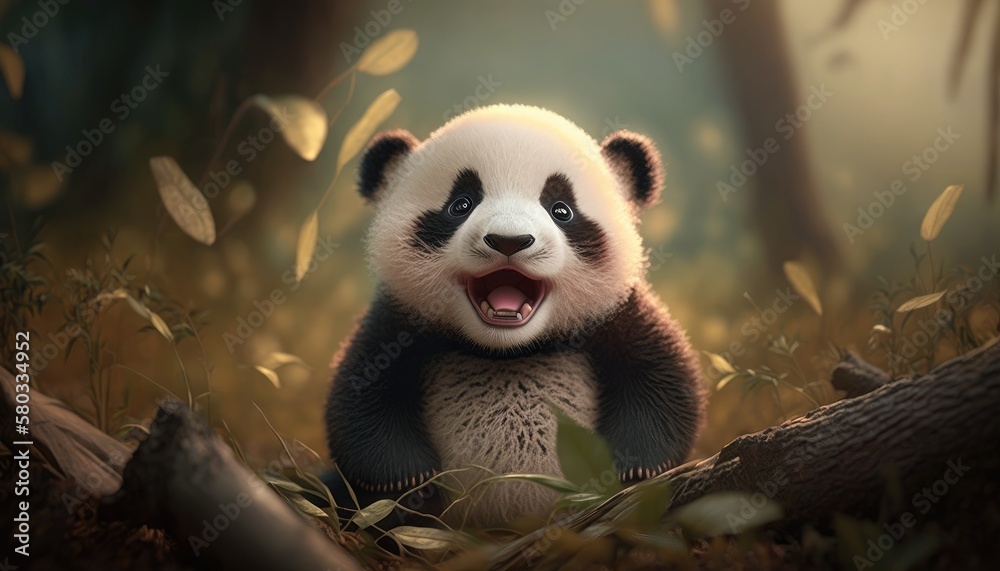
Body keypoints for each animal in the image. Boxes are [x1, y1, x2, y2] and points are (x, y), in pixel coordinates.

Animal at [325, 104, 705, 527]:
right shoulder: (396, 322)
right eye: (460, 204)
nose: (509, 240)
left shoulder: (617, 313)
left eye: (561, 210)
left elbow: (664, 382)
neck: (509, 350)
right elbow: (359, 399)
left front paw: (631, 468)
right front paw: (409, 482)